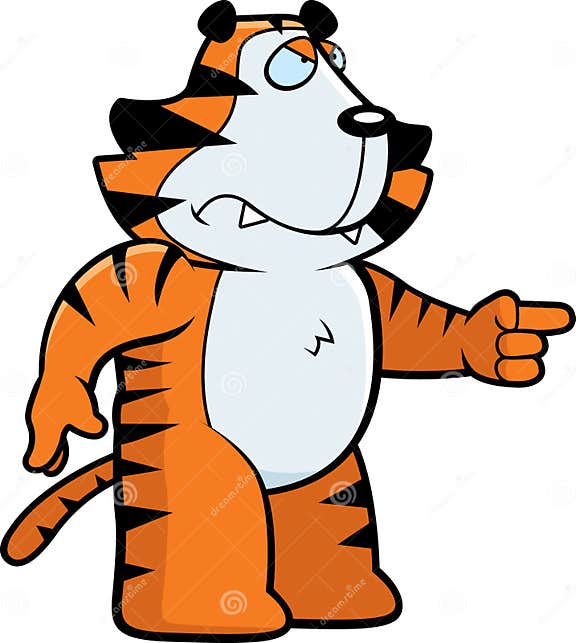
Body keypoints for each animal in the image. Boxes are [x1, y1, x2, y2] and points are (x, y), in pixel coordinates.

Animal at [2, 1, 574, 640]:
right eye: (287, 70)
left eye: (340, 64)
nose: (380, 123)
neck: (283, 267)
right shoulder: (161, 280)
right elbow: (92, 303)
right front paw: (58, 414)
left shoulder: (371, 288)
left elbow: (416, 328)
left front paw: (498, 339)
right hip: (199, 466)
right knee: (210, 524)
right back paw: (210, 619)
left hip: (334, 484)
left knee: (329, 530)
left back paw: (346, 606)